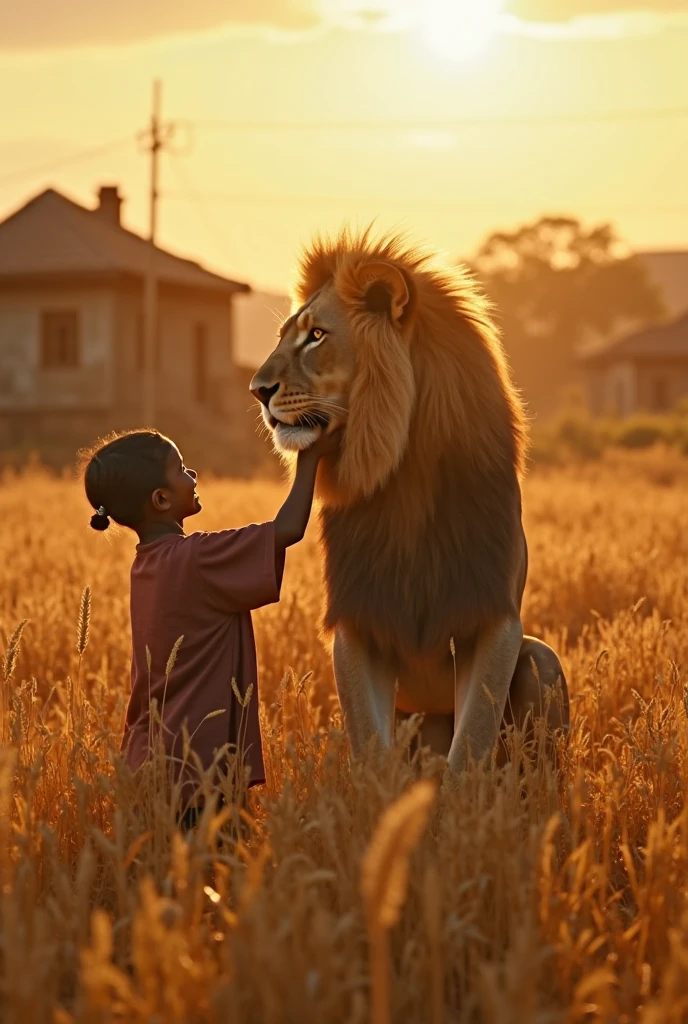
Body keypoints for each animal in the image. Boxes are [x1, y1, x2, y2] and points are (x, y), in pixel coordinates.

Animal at [250, 229, 570, 771]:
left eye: (317, 336)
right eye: (284, 335)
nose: (257, 390)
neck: (405, 477)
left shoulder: (494, 620)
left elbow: (469, 749)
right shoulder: (357, 622)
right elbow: (372, 751)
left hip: (541, 659)